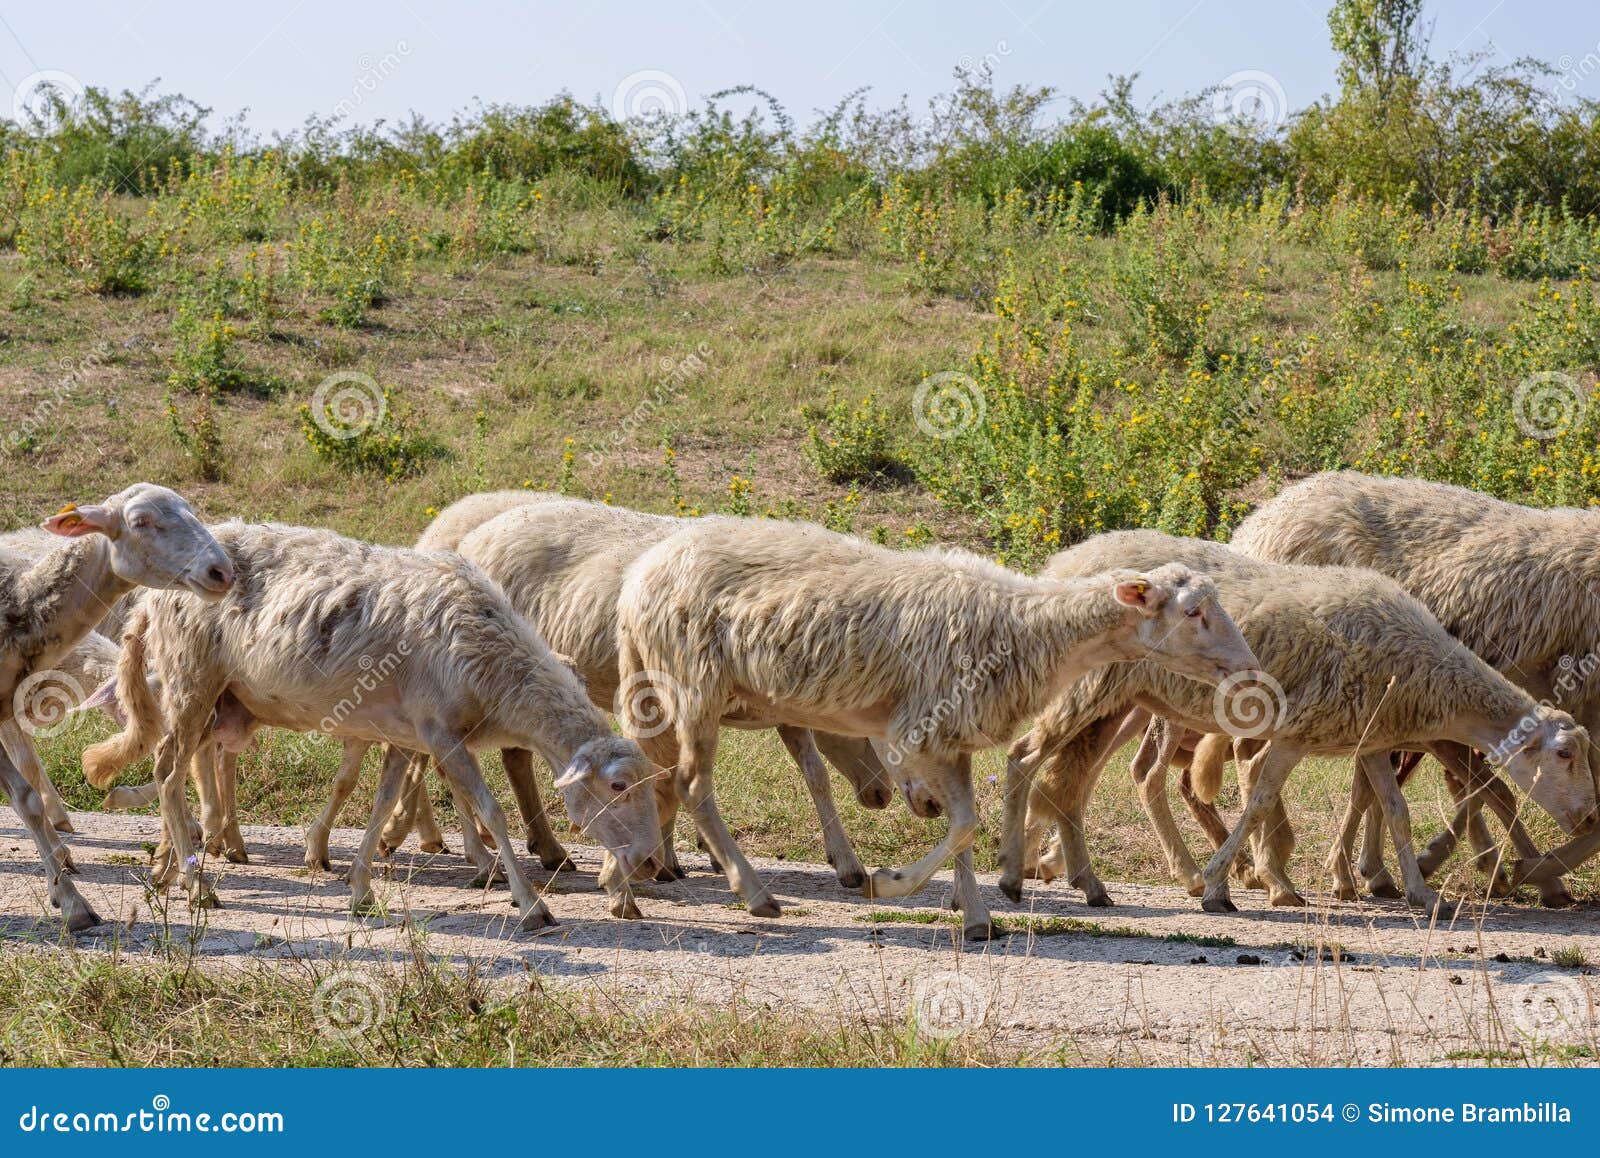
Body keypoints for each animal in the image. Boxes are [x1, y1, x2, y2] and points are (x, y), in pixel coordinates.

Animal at [80, 521, 664, 927]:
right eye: (617, 785)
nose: (650, 864)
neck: (493, 661)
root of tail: (152, 596)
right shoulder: (442, 734)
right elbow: (492, 813)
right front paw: (530, 905)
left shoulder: (407, 735)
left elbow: (381, 804)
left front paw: (360, 887)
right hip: (191, 680)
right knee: (167, 772)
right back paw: (198, 885)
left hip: (218, 696)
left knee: (179, 771)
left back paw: (167, 871)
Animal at [613, 516, 1257, 938]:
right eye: (1194, 612)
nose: (1249, 665)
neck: (1029, 628)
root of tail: (641, 575)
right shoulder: (918, 729)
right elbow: (964, 824)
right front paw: (892, 882)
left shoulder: (956, 737)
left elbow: (964, 825)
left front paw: (974, 916)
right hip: (694, 684)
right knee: (693, 785)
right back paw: (753, 894)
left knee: (659, 774)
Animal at [1004, 530, 1595, 916]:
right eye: (1565, 754)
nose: (1591, 817)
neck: (1420, 668)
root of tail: (1064, 559)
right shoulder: (1294, 732)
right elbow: (1260, 801)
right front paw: (1222, 886)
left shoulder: (1370, 736)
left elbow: (1396, 810)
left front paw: (1421, 893)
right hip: (1089, 691)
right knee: (1025, 759)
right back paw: (1018, 875)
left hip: (1122, 700)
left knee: (1074, 782)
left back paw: (1085, 880)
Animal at [1230, 471, 1600, 892]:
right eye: (1563, 754)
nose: (1585, 817)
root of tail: (1258, 520)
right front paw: (1535, 870)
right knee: (1248, 754)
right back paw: (1271, 864)